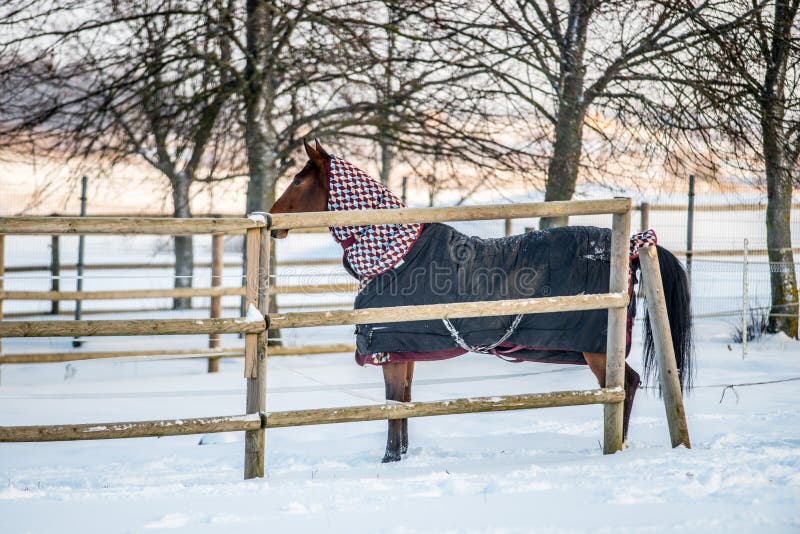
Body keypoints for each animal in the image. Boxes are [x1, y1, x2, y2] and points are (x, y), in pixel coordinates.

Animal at [270, 140, 693, 463]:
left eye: (297, 179)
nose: (271, 220)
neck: (396, 253)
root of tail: (632, 246)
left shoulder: (389, 351)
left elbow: (393, 406)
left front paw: (389, 460)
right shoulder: (404, 352)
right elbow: (405, 404)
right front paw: (400, 457)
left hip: (598, 349)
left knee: (627, 385)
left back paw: (616, 446)